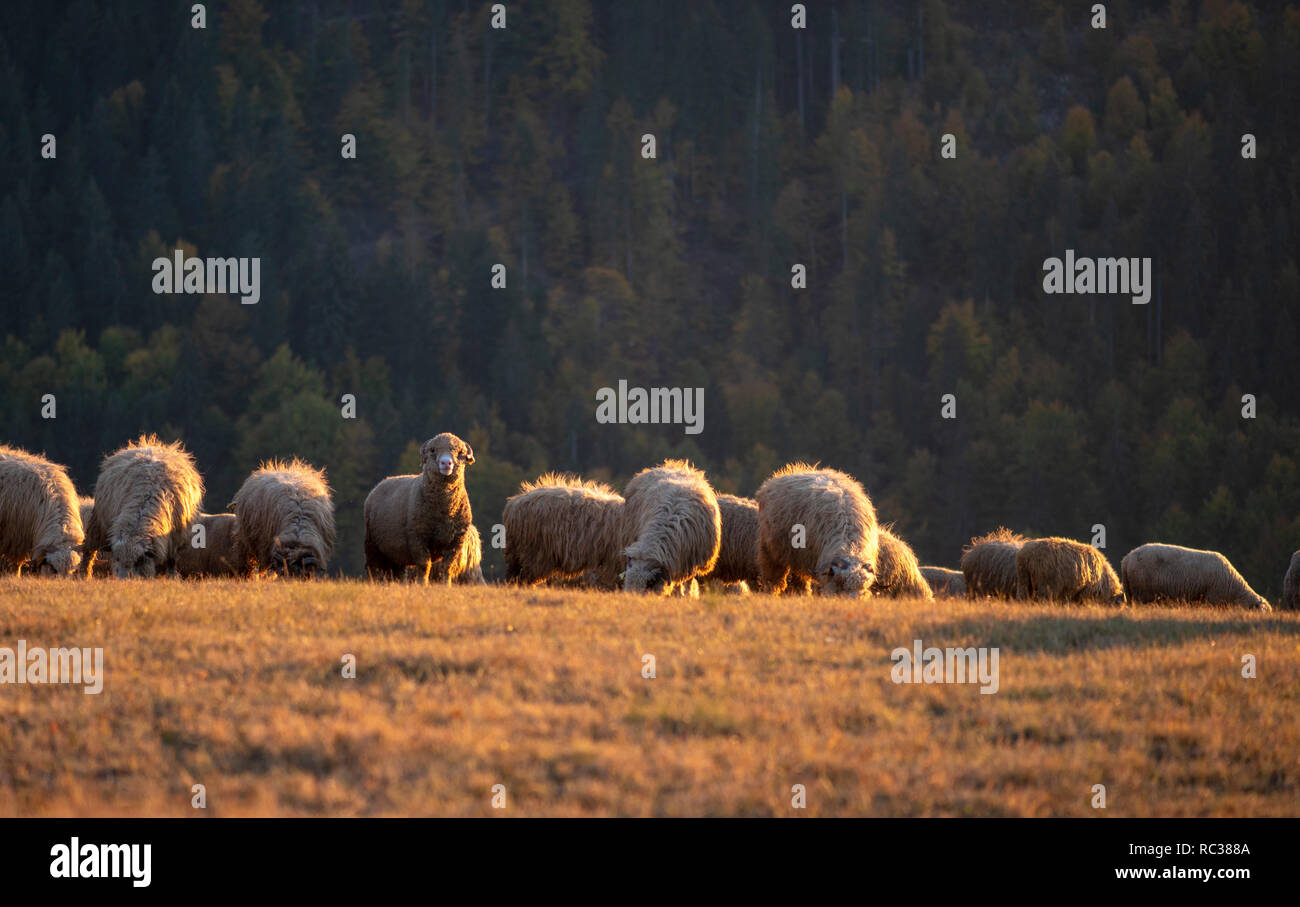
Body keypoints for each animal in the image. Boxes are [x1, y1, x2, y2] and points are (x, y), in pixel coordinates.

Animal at [82, 435, 203, 578]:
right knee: (89, 550)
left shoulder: (175, 539)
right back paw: (84, 574)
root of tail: (148, 445)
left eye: (139, 560)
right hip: (98, 524)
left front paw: (172, 577)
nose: (122, 580)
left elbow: (172, 561)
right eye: (117, 559)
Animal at [363, 433, 476, 584]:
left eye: (460, 453)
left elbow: (448, 567)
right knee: (375, 570)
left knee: (397, 572)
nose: (446, 463)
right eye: (433, 450)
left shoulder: (456, 541)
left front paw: (446, 585)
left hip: (396, 553)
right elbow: (424, 565)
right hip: (373, 546)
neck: (443, 511)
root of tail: (383, 481)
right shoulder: (417, 538)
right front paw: (422, 584)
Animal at [620, 459, 721, 595]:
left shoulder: (690, 562)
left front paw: (683, 595)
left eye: (648, 585)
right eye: (627, 582)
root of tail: (676, 465)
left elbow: (686, 582)